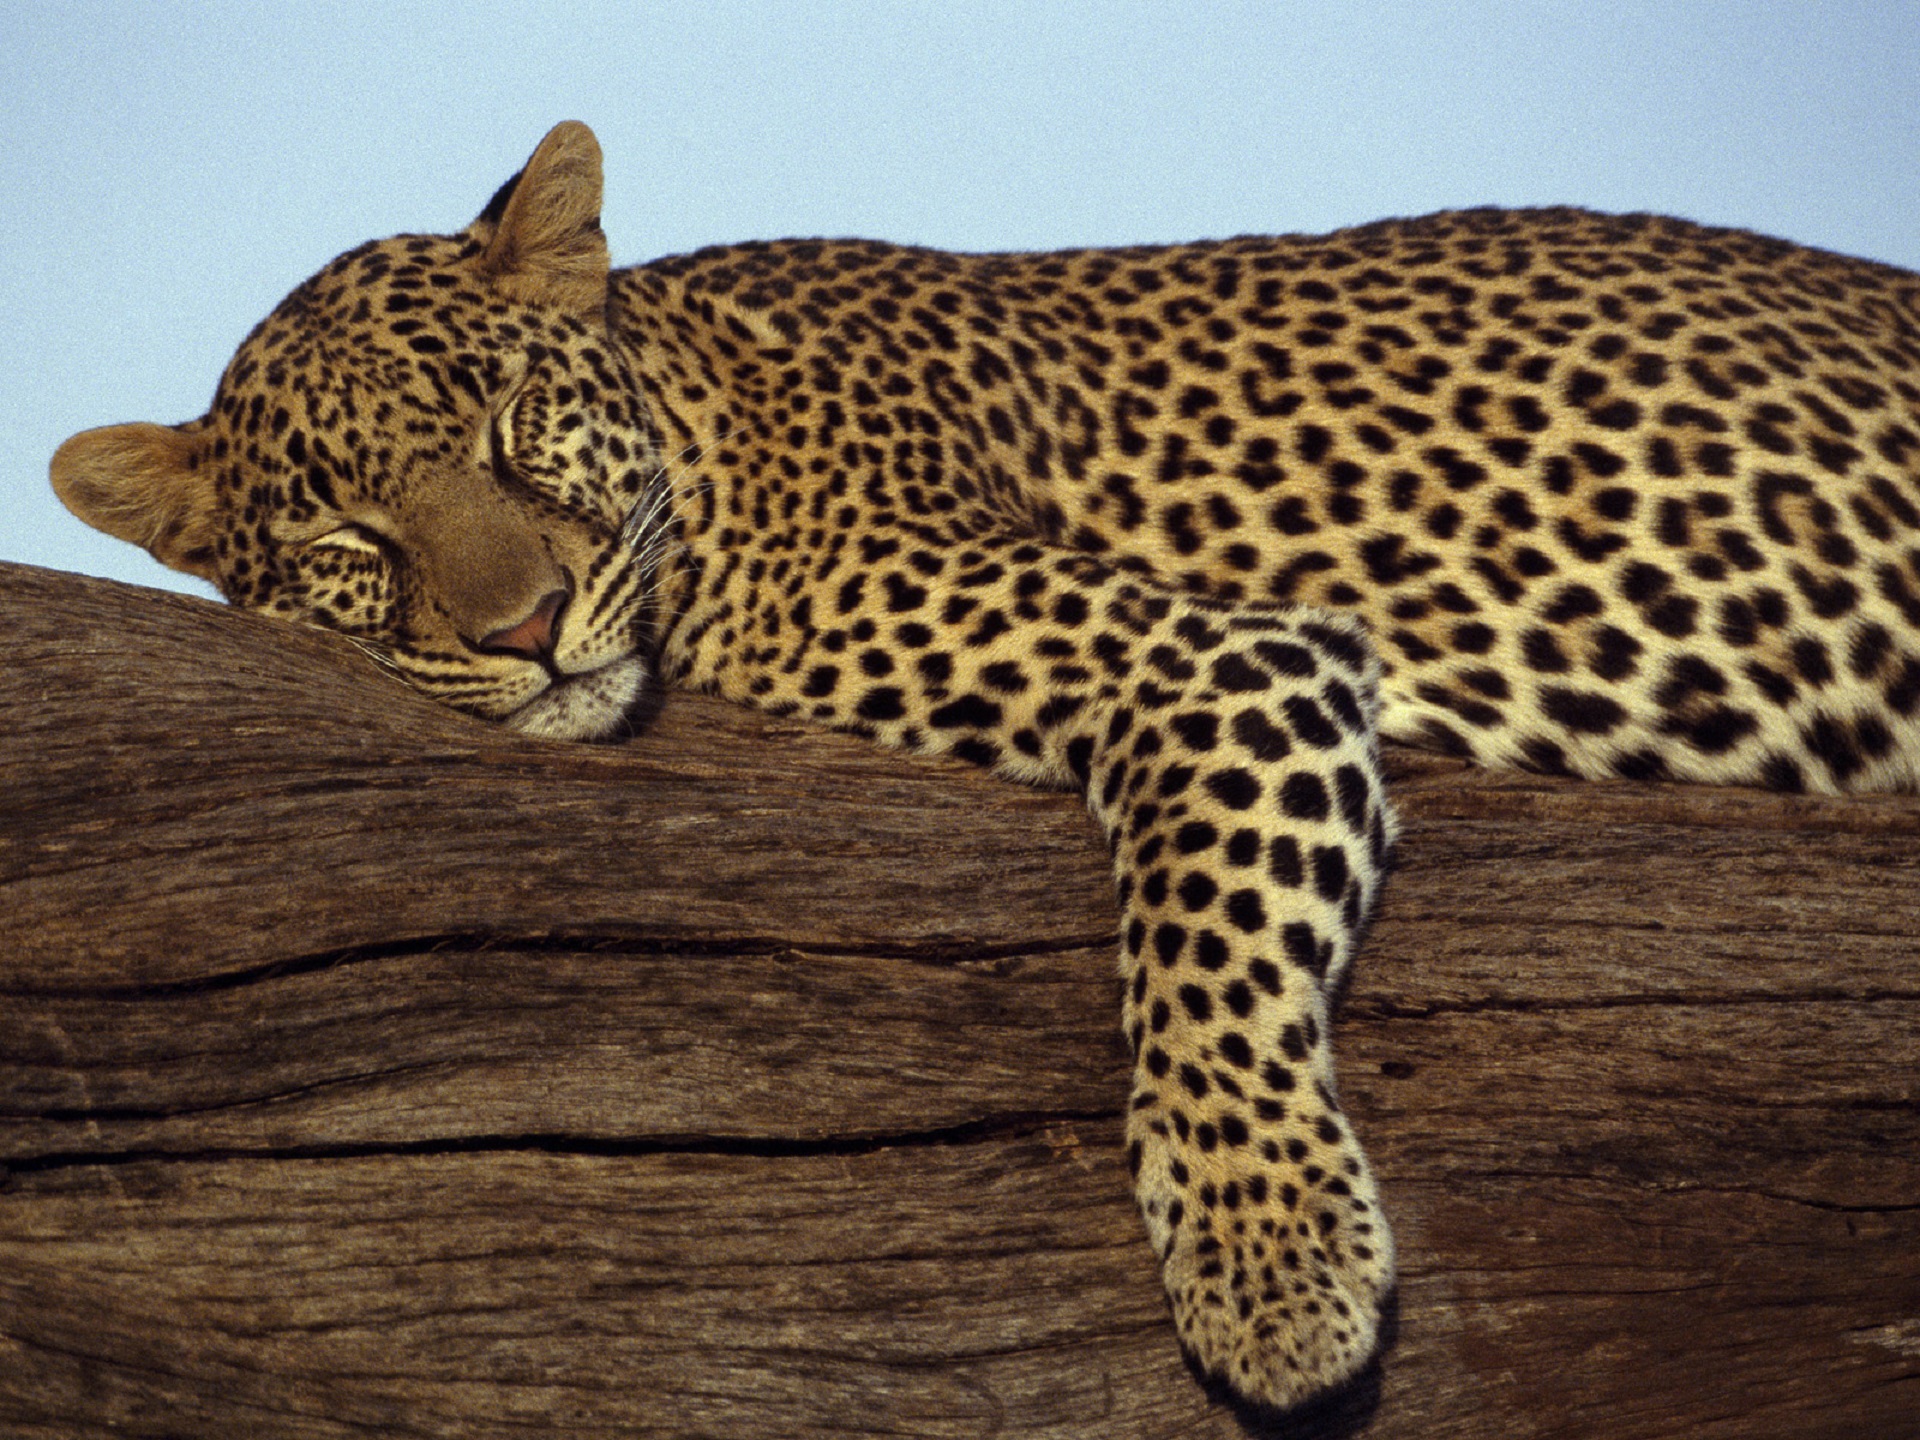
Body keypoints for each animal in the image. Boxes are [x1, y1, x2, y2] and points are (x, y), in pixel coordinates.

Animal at [50, 121, 1920, 1412]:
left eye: (509, 424)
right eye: (345, 539)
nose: (525, 632)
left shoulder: (1228, 656)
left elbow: (1205, 950)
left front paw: (1273, 1264)